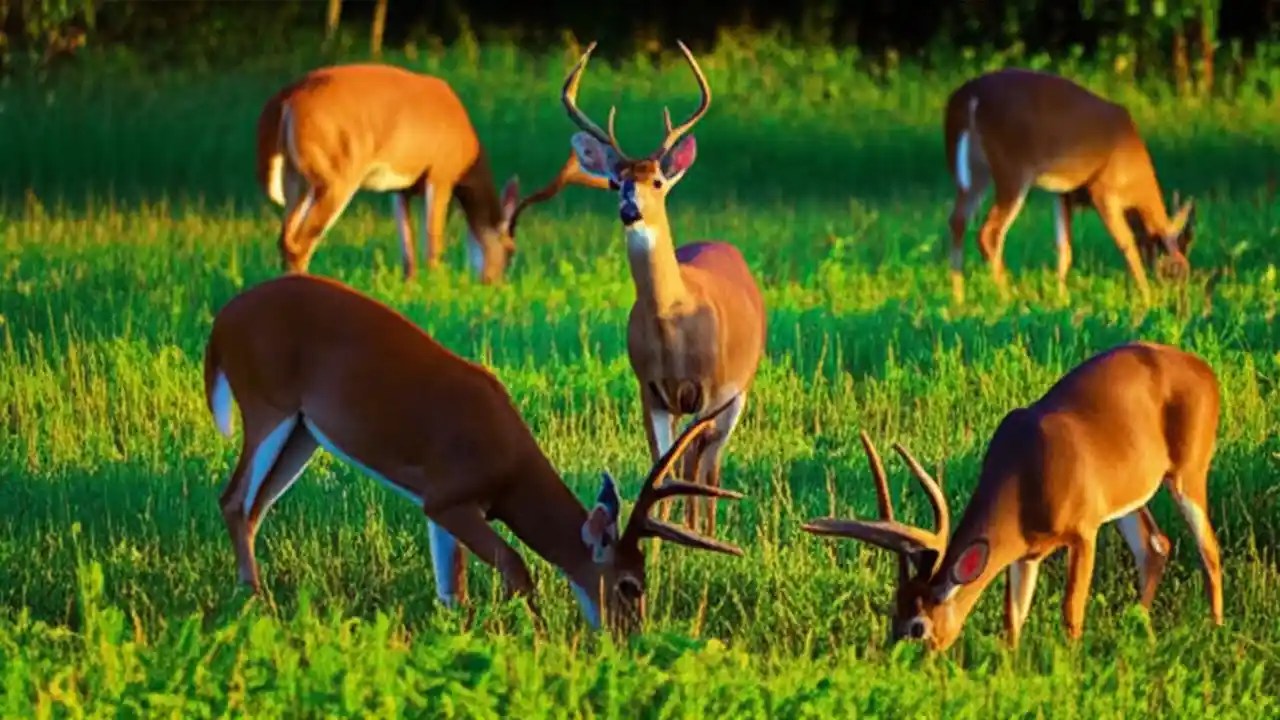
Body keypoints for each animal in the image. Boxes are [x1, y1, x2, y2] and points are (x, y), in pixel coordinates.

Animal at [202, 273, 745, 633]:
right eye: (630, 584)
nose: (631, 639)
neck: (509, 469)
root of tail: (222, 321)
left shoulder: (438, 505)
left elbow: (451, 588)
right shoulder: (450, 496)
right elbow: (517, 567)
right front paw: (533, 635)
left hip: (303, 432)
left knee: (253, 507)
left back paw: (252, 594)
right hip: (266, 403)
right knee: (234, 500)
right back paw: (255, 601)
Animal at [255, 62, 521, 285]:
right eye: (511, 250)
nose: (495, 284)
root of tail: (287, 95)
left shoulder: (400, 189)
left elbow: (407, 248)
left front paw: (411, 286)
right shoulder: (441, 174)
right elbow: (433, 242)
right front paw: (436, 286)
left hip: (296, 178)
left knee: (285, 239)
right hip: (336, 177)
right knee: (299, 244)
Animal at [556, 41, 768, 537]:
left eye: (656, 181)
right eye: (616, 181)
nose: (630, 210)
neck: (674, 321)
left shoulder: (710, 389)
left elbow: (689, 468)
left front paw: (689, 537)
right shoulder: (649, 388)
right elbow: (660, 468)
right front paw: (658, 539)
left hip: (740, 389)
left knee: (709, 465)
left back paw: (706, 527)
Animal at [803, 341, 1224, 651]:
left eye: (919, 627)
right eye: (893, 614)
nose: (902, 662)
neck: (1024, 476)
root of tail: (1206, 370)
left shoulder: (1084, 529)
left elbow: (1071, 611)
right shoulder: (1026, 552)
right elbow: (1013, 619)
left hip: (1189, 470)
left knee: (1209, 549)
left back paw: (1215, 631)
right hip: (1129, 497)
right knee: (1155, 546)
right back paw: (1139, 630)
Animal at [943, 68, 1197, 305]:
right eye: (1178, 269)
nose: (1179, 301)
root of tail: (970, 95)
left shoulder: (1063, 193)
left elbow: (1064, 247)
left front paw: (1061, 300)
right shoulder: (1103, 189)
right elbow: (1126, 243)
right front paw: (1147, 298)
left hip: (974, 171)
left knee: (957, 220)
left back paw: (958, 299)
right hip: (1012, 168)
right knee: (990, 232)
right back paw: (1008, 299)